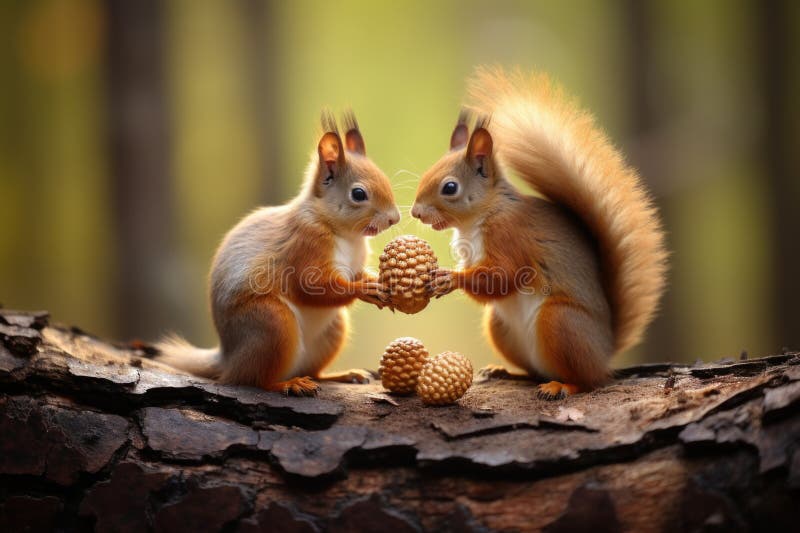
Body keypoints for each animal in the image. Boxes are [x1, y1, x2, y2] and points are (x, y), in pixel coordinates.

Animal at [156, 111, 400, 395]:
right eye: (358, 194)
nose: (394, 218)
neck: (345, 234)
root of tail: (228, 357)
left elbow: (356, 274)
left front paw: (376, 281)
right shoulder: (304, 246)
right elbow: (312, 287)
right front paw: (364, 289)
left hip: (333, 330)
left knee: (313, 372)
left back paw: (340, 375)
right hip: (272, 323)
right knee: (254, 379)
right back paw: (288, 384)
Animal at [411, 68, 668, 399]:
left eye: (450, 187)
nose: (416, 212)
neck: (483, 215)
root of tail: (605, 351)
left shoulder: (510, 237)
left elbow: (503, 276)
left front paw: (449, 278)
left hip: (560, 322)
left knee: (588, 380)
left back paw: (562, 385)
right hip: (500, 327)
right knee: (535, 370)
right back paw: (506, 372)